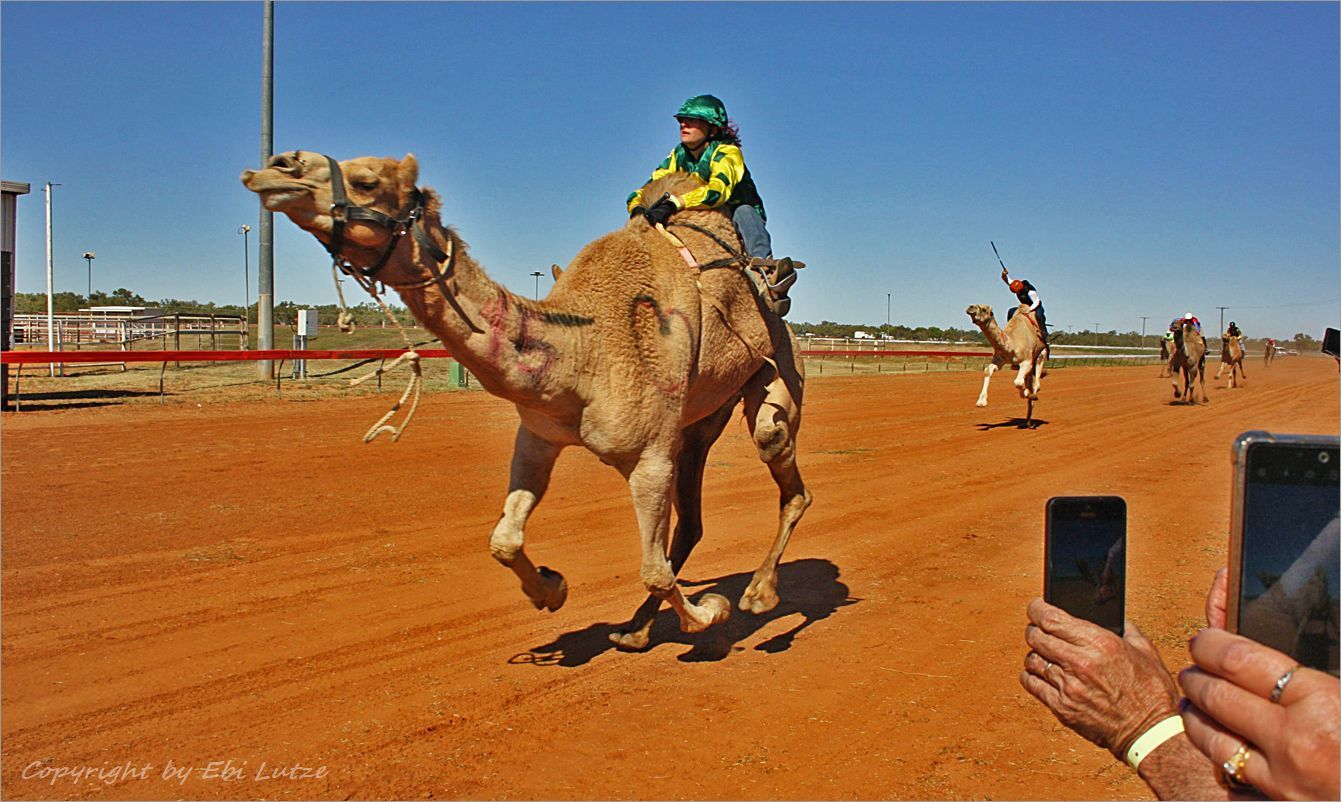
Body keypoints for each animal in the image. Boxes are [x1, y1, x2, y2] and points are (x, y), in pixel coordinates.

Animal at [242, 152, 811, 651]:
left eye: (365, 180)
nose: (277, 167)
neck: (583, 350)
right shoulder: (539, 435)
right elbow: (503, 538)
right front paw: (551, 589)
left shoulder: (650, 455)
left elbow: (651, 570)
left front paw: (713, 610)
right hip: (700, 419)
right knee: (693, 520)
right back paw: (635, 629)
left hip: (777, 370)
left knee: (782, 464)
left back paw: (758, 596)